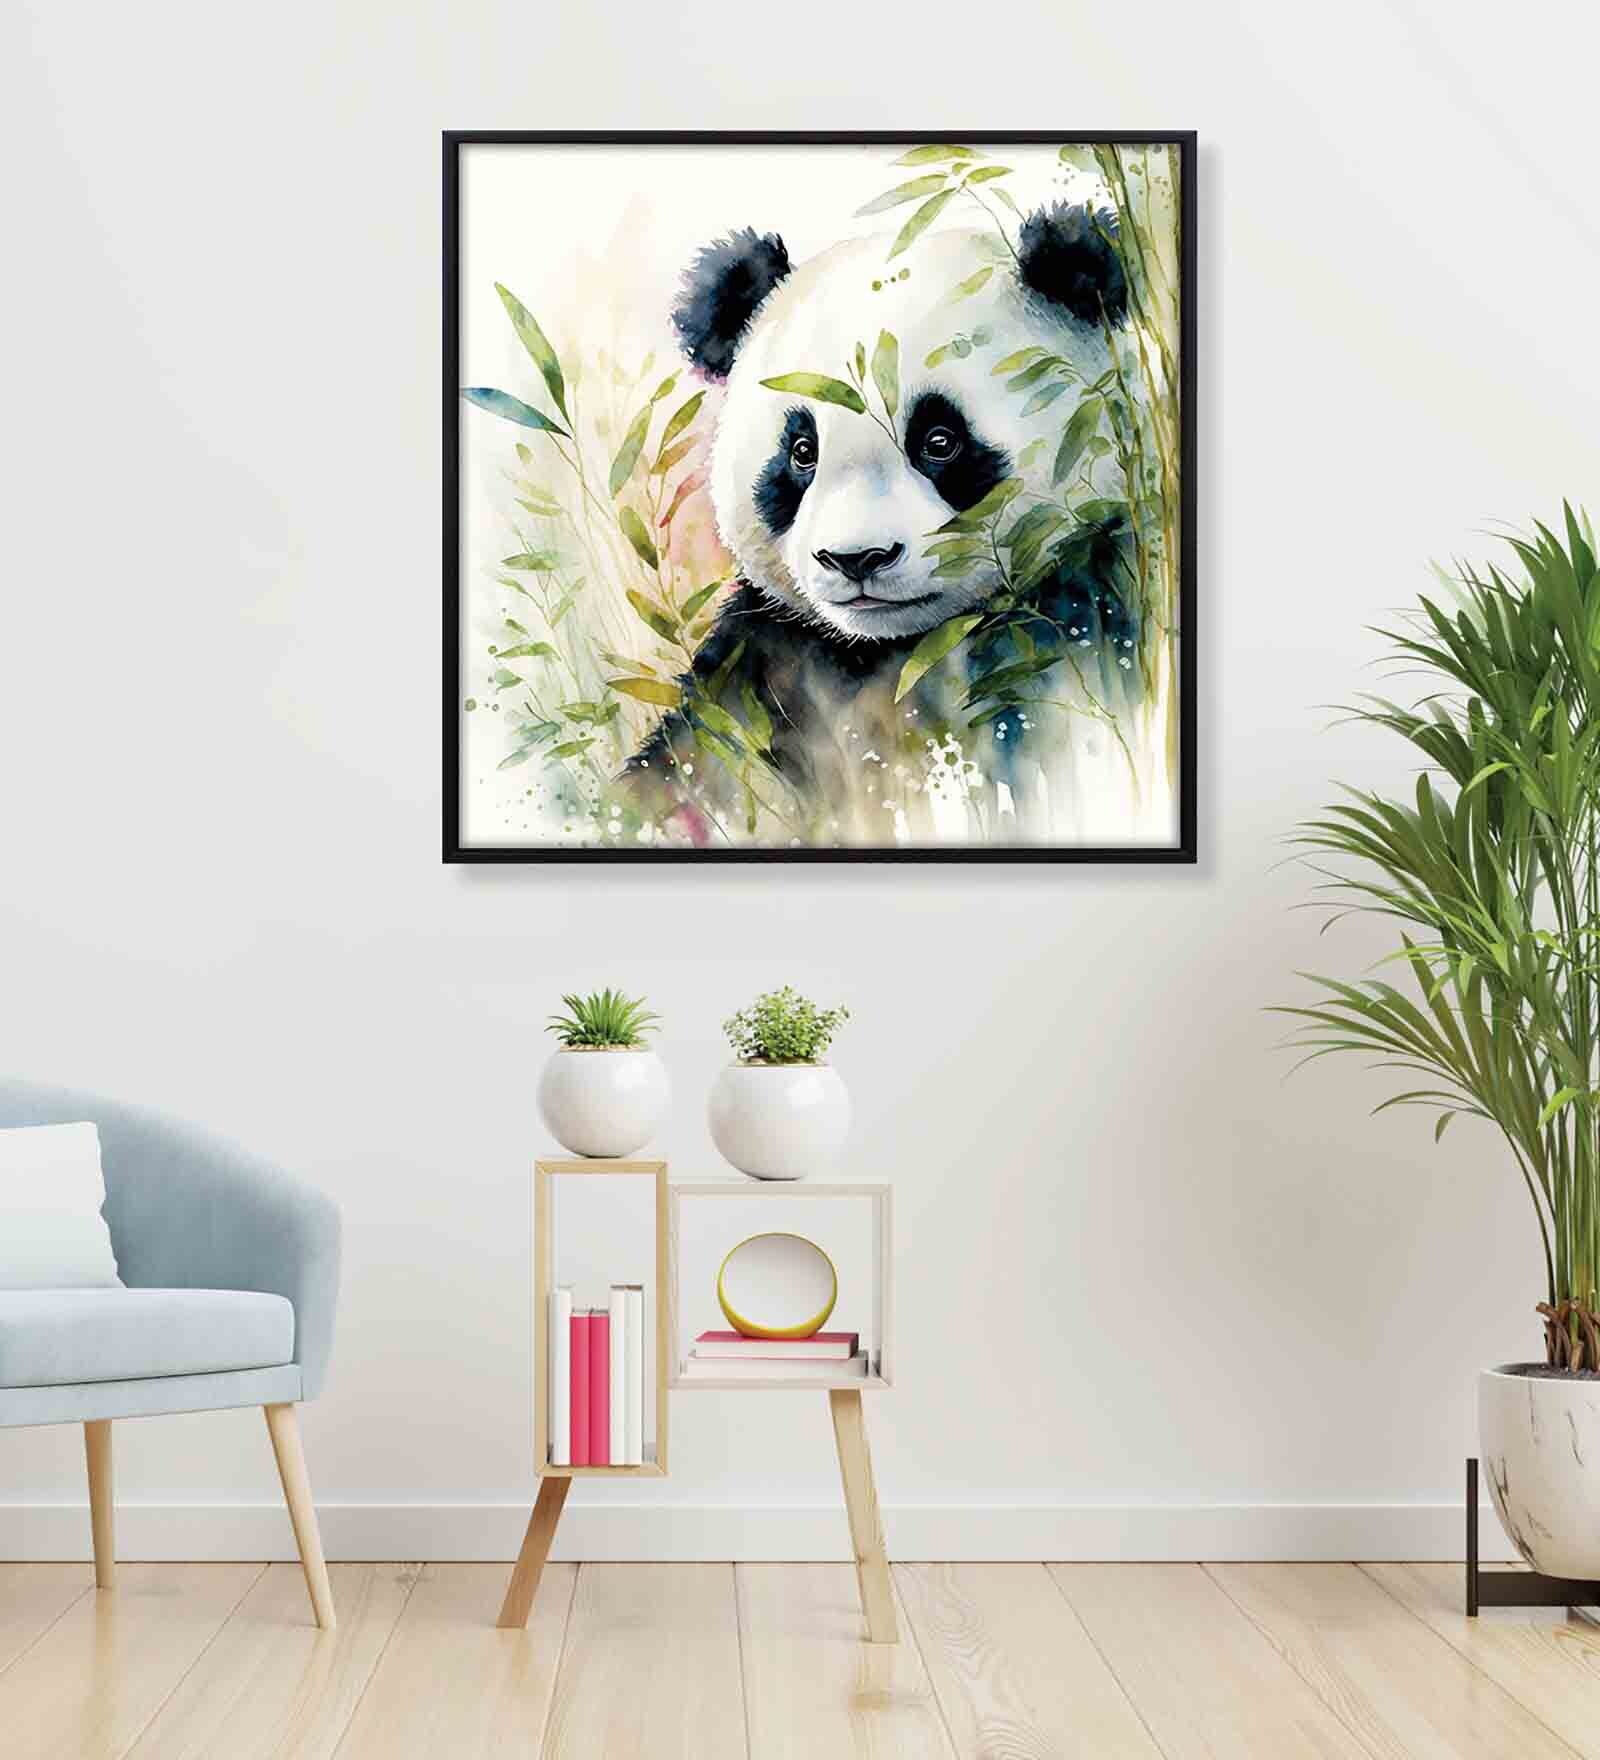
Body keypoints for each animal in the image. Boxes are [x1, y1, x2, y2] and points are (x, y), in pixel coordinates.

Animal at [621, 204, 1139, 845]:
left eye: (939, 441)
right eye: (802, 451)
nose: (856, 559)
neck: (901, 653)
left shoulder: (1082, 621)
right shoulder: (777, 668)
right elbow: (697, 766)